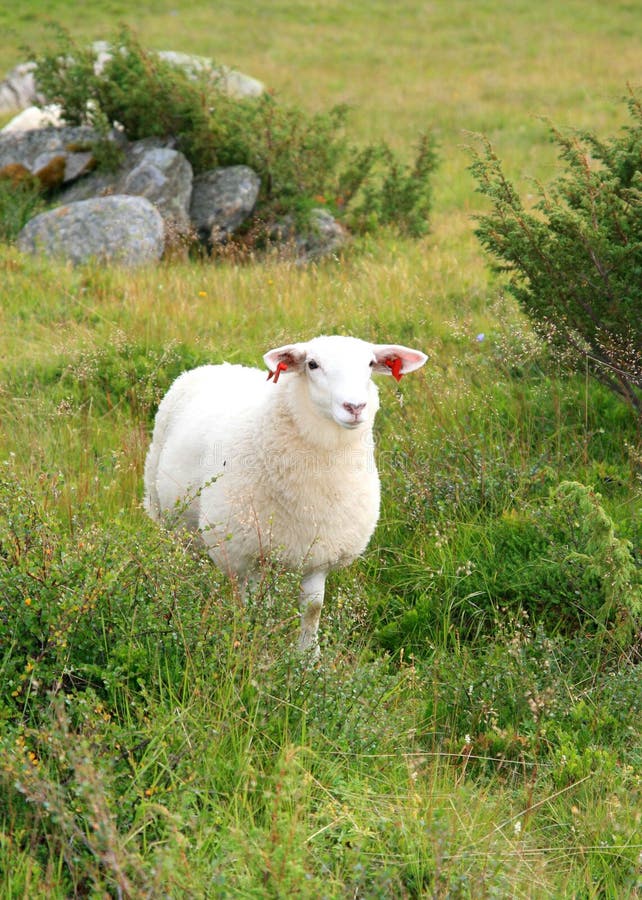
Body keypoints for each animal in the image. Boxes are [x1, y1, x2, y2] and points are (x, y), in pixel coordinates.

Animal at [143, 334, 427, 655]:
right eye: (312, 364)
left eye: (369, 364)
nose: (355, 406)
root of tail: (214, 366)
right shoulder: (251, 554)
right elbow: (259, 607)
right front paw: (260, 647)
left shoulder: (319, 553)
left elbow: (313, 609)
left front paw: (307, 656)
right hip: (172, 520)